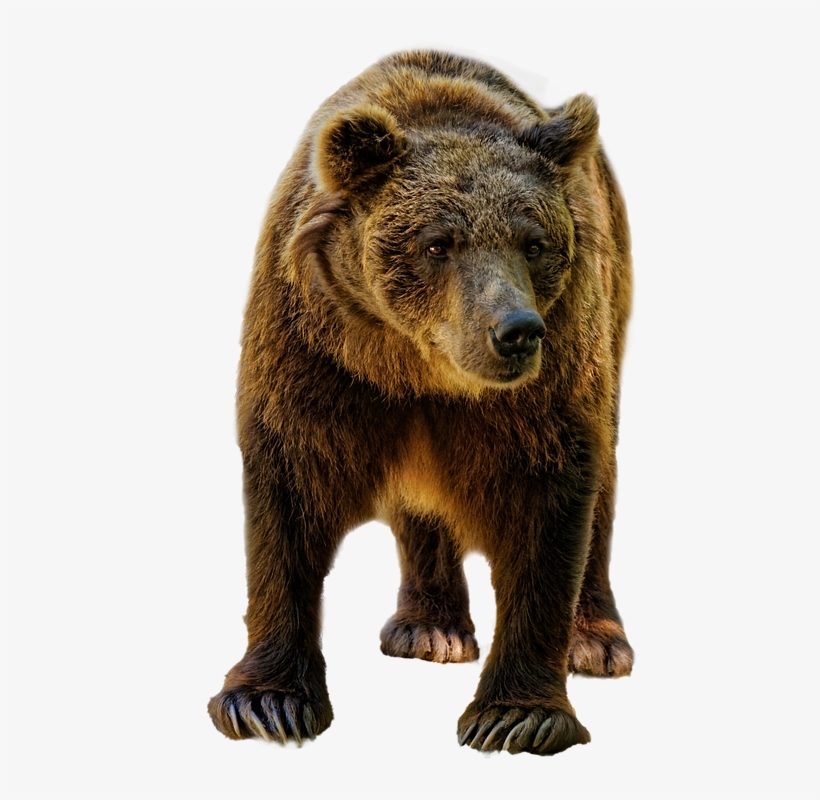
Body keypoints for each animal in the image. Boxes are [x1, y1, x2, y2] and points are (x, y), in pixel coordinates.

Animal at [208, 50, 634, 756]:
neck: (419, 368)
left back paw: (598, 639)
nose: (516, 330)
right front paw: (267, 701)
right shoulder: (315, 351)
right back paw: (429, 627)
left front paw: (517, 714)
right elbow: (289, 487)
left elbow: (551, 494)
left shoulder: (551, 376)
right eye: (439, 243)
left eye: (534, 241)